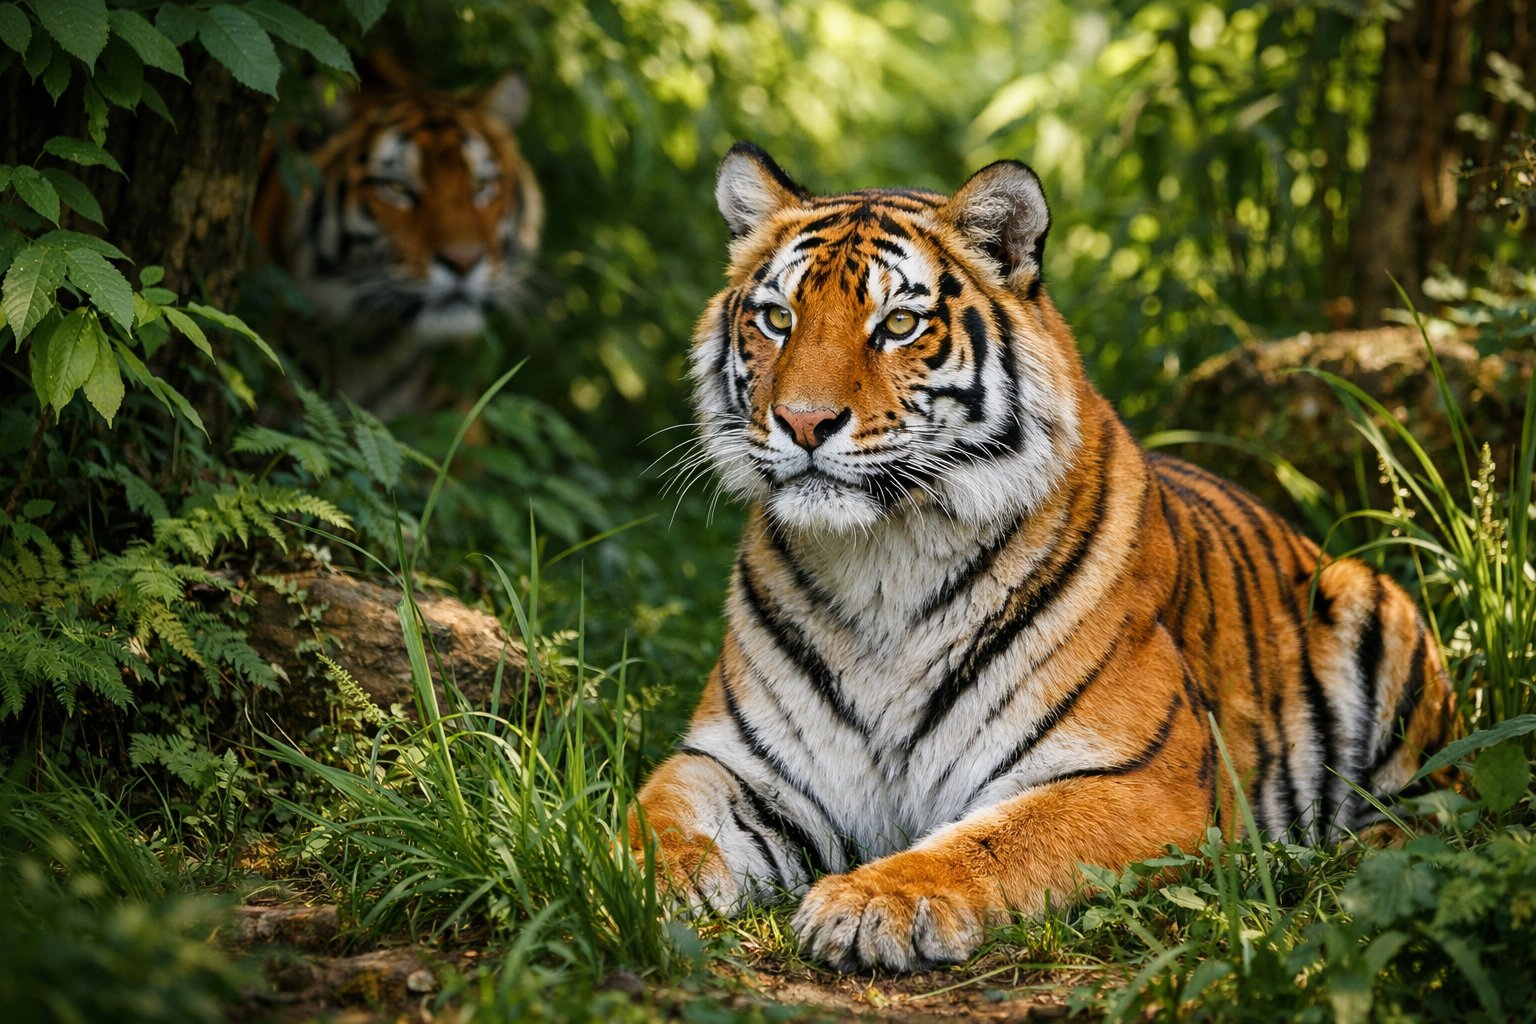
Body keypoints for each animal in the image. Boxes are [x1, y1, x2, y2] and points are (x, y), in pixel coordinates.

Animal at [632, 143, 1455, 973]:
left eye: (898, 324)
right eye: (778, 318)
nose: (803, 422)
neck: (883, 561)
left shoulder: (1141, 778)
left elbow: (999, 842)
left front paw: (871, 902)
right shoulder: (736, 763)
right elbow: (657, 818)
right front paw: (642, 887)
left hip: (1371, 605)